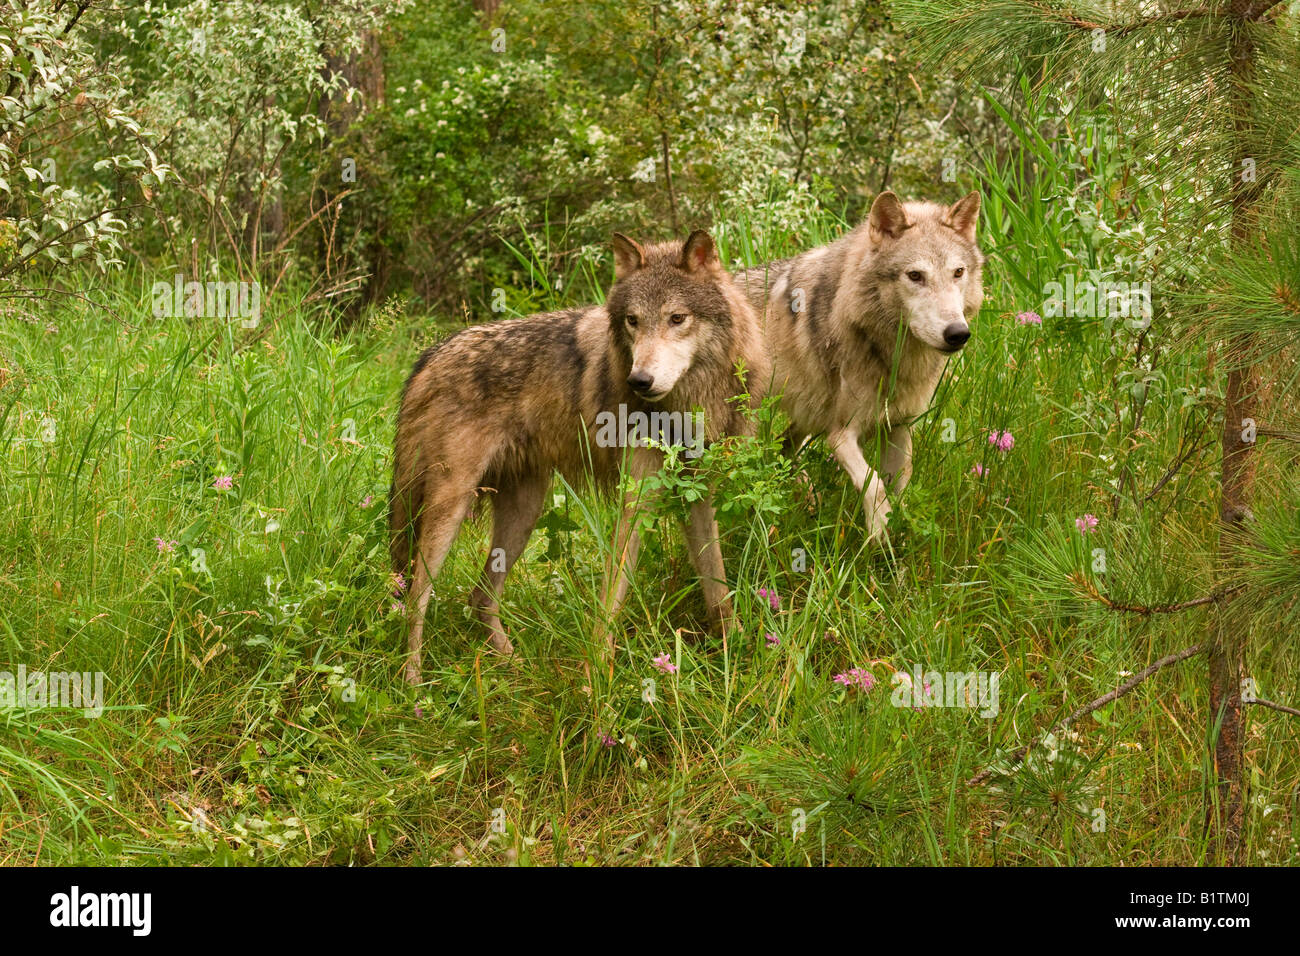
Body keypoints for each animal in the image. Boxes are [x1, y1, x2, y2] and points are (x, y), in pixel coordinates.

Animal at [390, 231, 769, 684]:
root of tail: (431, 355)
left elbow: (718, 590)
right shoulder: (634, 502)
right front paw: (596, 680)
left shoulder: (698, 497)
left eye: (677, 318)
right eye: (632, 321)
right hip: (448, 511)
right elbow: (611, 598)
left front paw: (737, 656)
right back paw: (413, 685)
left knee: (479, 598)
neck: (688, 405)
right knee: (416, 600)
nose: (639, 380)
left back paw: (513, 665)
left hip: (523, 513)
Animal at [737, 191, 983, 542]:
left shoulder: (899, 427)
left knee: (784, 449)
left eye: (958, 272)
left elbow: (900, 484)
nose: (957, 333)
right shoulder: (841, 434)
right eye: (915, 276)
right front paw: (878, 533)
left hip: (806, 419)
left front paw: (898, 537)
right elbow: (874, 484)